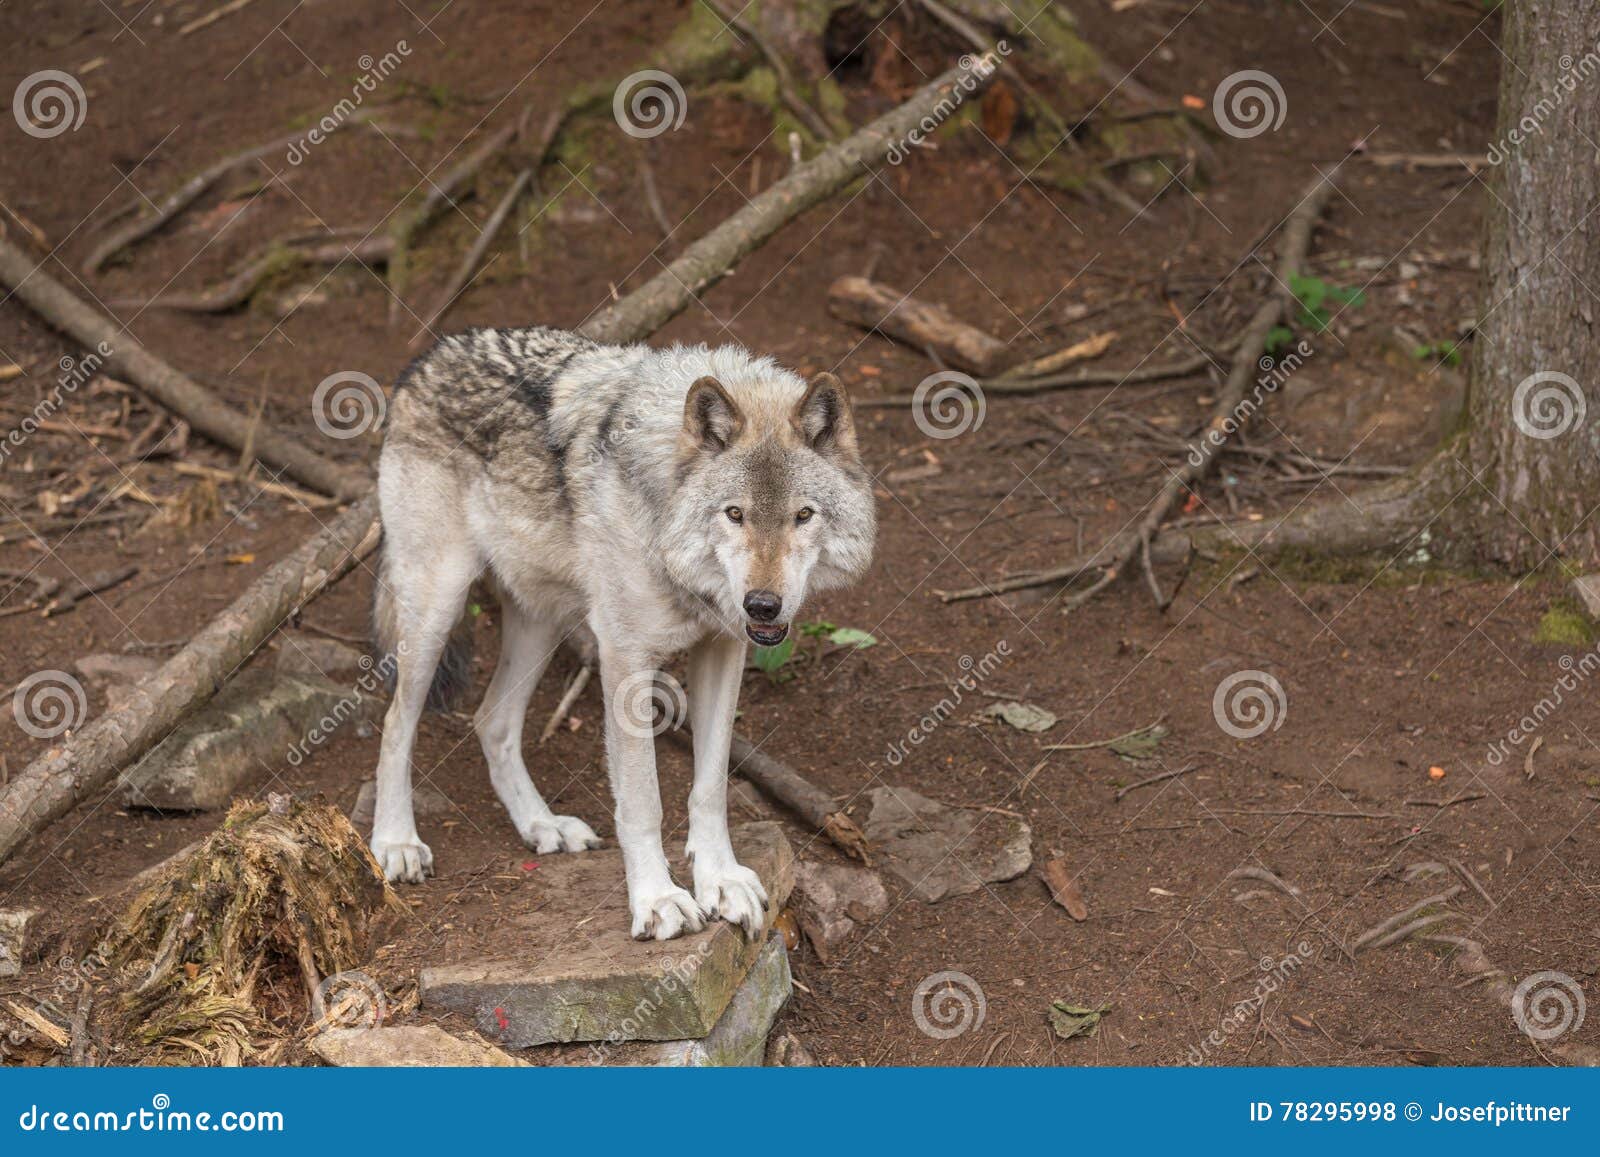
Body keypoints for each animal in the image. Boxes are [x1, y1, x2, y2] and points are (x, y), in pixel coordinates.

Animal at [369, 327, 876, 940]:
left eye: (803, 516)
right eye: (734, 514)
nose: (762, 604)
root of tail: (429, 355)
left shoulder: (723, 649)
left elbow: (710, 787)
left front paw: (720, 881)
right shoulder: (625, 659)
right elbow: (642, 801)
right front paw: (658, 900)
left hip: (540, 622)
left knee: (492, 721)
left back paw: (542, 825)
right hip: (436, 608)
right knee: (396, 724)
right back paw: (395, 842)